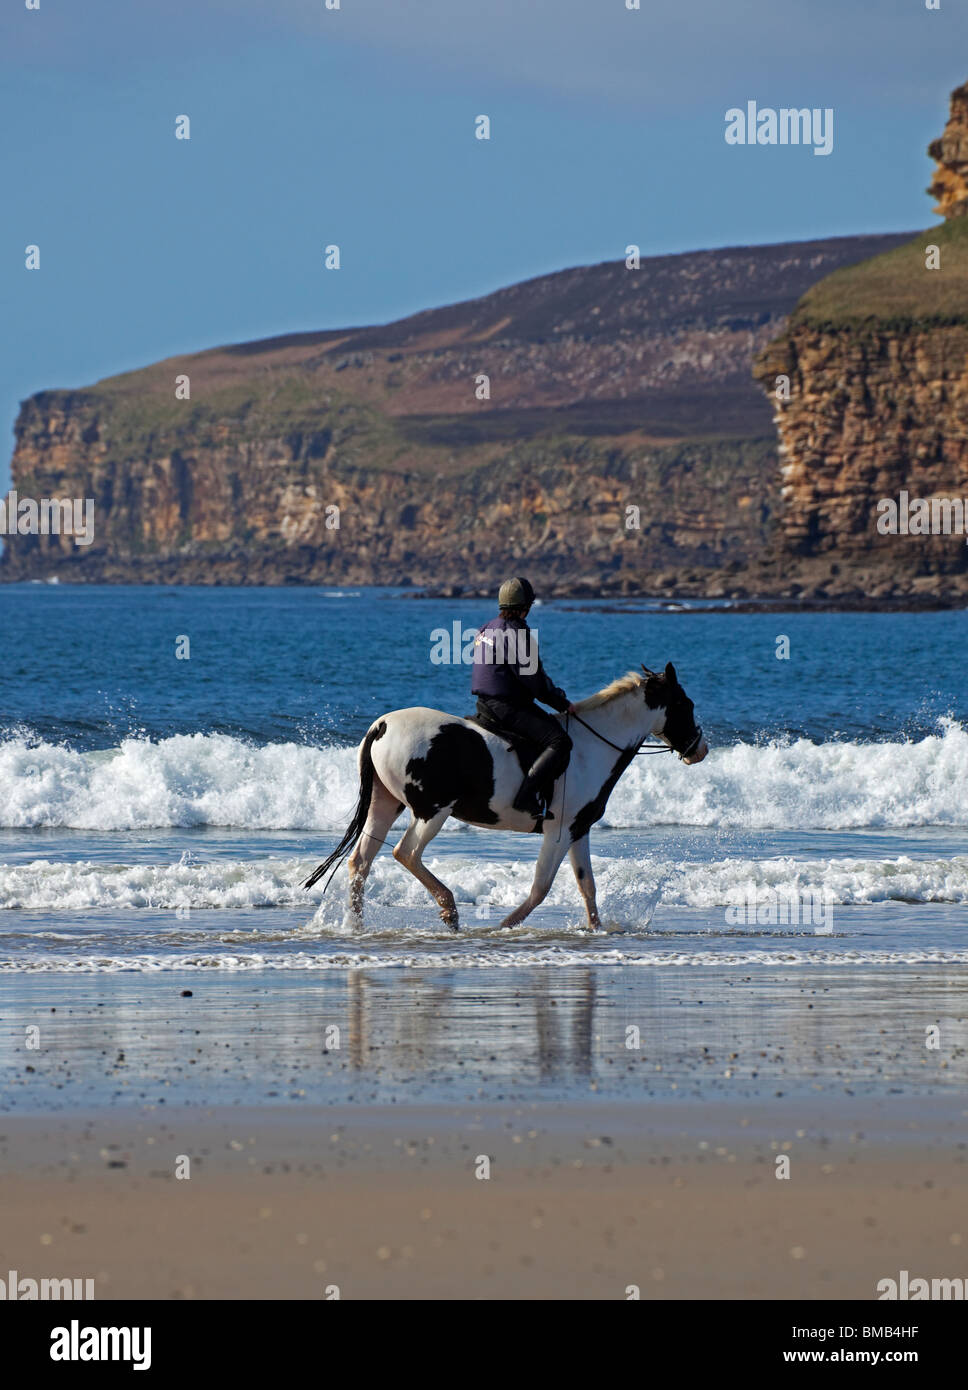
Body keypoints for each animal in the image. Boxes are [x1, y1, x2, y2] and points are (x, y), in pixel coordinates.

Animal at [303, 662, 707, 931]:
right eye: (685, 705)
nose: (699, 750)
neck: (591, 747)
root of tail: (382, 724)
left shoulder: (578, 830)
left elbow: (587, 885)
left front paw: (596, 929)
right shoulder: (558, 831)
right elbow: (542, 887)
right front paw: (505, 926)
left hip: (386, 804)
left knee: (360, 861)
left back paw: (357, 926)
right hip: (433, 811)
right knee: (406, 853)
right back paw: (449, 909)